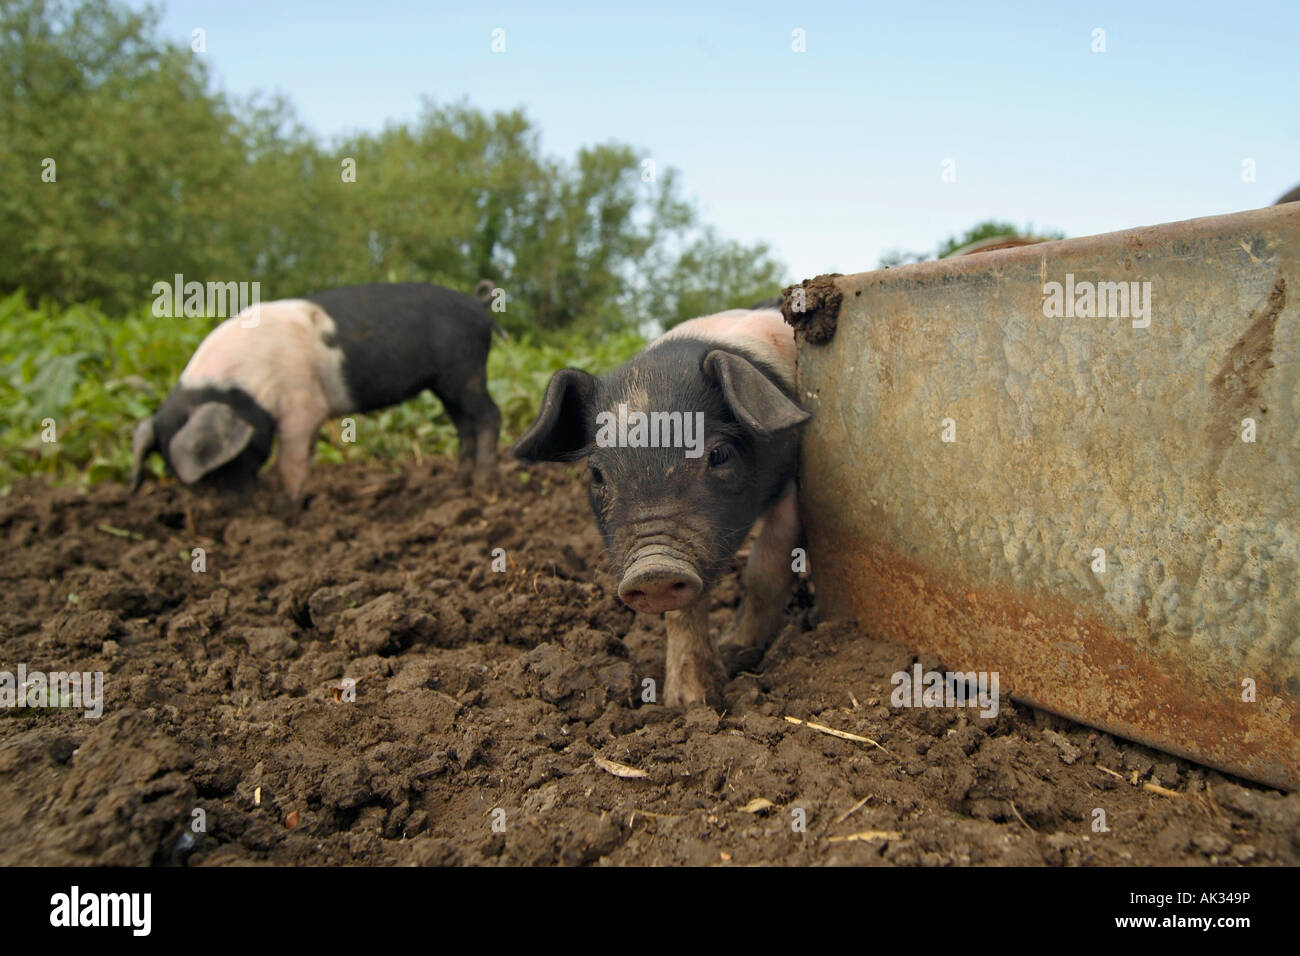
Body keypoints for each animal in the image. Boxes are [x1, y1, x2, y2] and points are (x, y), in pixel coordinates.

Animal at [130, 281, 503, 503]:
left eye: (217, 470)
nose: (223, 522)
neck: (248, 384)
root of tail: (478, 304)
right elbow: (304, 456)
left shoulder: (302, 405)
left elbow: (290, 462)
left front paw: (289, 511)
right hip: (446, 384)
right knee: (464, 425)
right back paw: (457, 485)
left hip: (465, 369)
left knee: (489, 415)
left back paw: (484, 488)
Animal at [513, 307, 809, 708]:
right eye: (596, 473)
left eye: (719, 454)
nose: (652, 569)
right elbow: (682, 610)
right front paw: (688, 701)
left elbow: (766, 567)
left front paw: (735, 649)